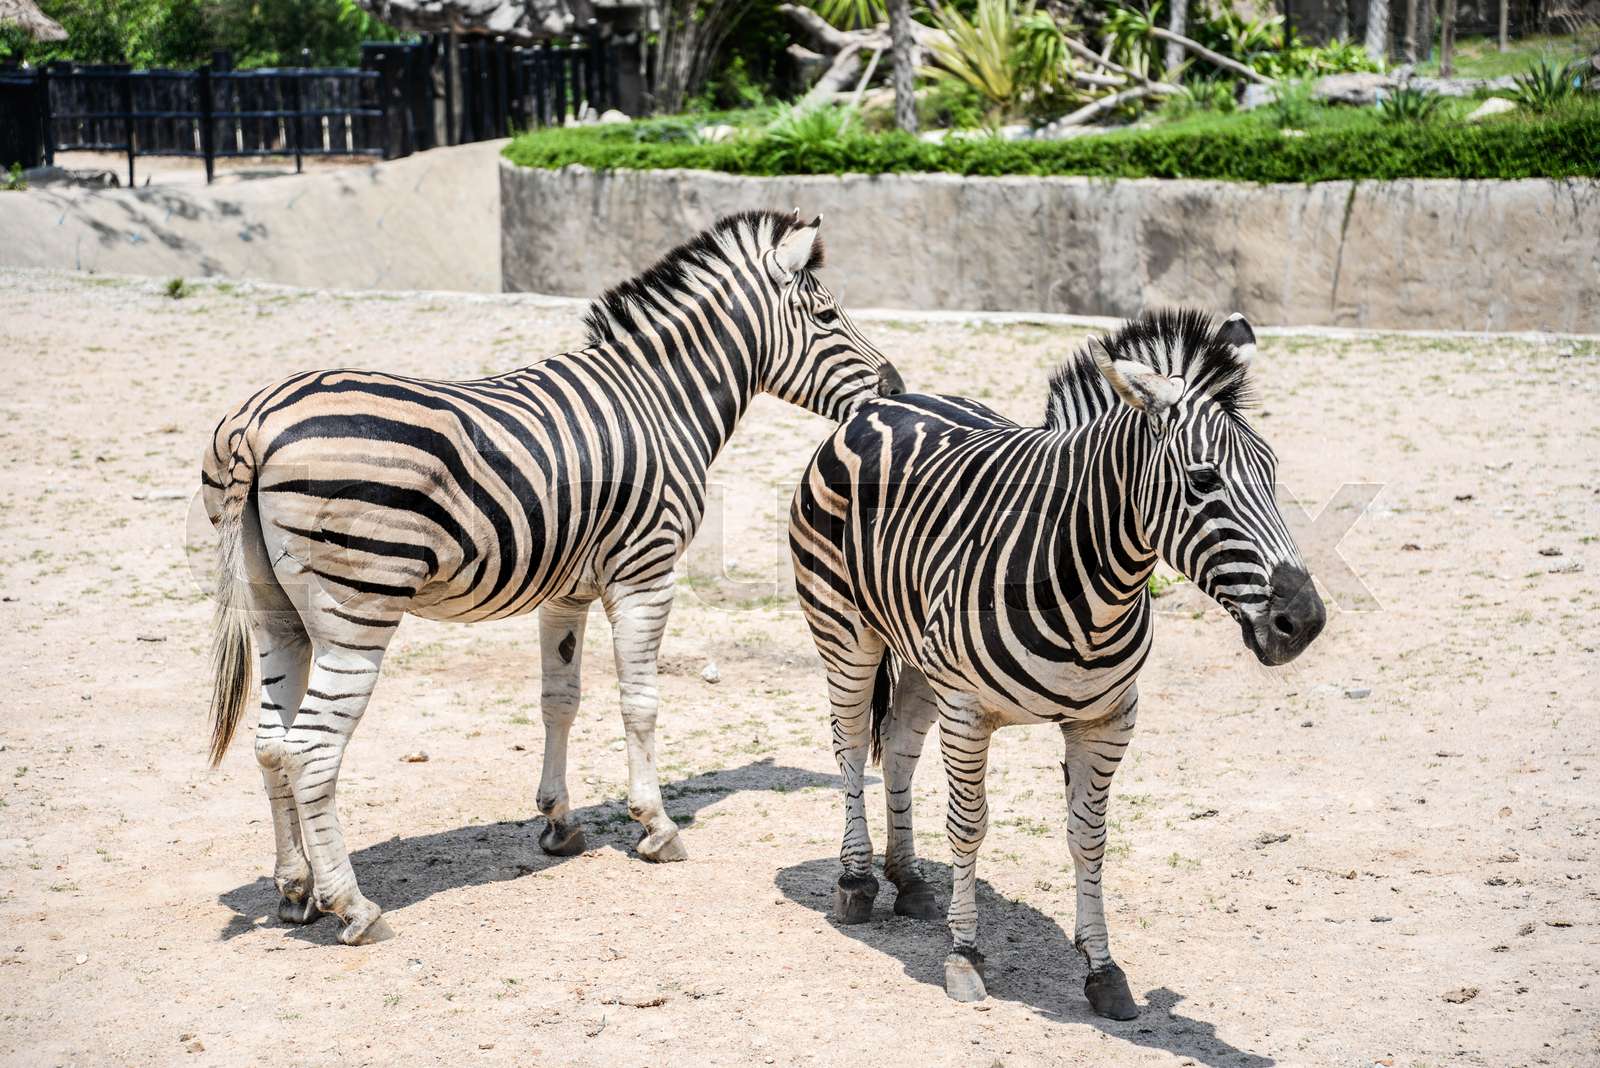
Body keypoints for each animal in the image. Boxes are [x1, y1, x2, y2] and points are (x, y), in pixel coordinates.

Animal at [200, 210, 904, 947]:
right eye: (825, 315)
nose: (896, 389)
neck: (662, 399)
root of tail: (256, 423)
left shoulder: (565, 589)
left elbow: (558, 699)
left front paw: (558, 821)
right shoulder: (645, 570)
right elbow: (639, 703)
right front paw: (656, 828)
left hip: (274, 610)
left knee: (272, 744)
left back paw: (296, 890)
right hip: (357, 605)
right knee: (311, 749)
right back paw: (353, 906)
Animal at [788, 308, 1325, 1019]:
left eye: (1271, 472)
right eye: (1204, 480)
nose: (1305, 622)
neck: (1093, 587)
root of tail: (882, 401)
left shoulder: (1107, 721)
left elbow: (1089, 837)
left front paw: (1103, 969)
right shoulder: (969, 711)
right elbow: (970, 828)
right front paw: (965, 958)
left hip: (921, 655)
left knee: (899, 745)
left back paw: (909, 879)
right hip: (845, 629)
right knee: (850, 742)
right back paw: (855, 881)